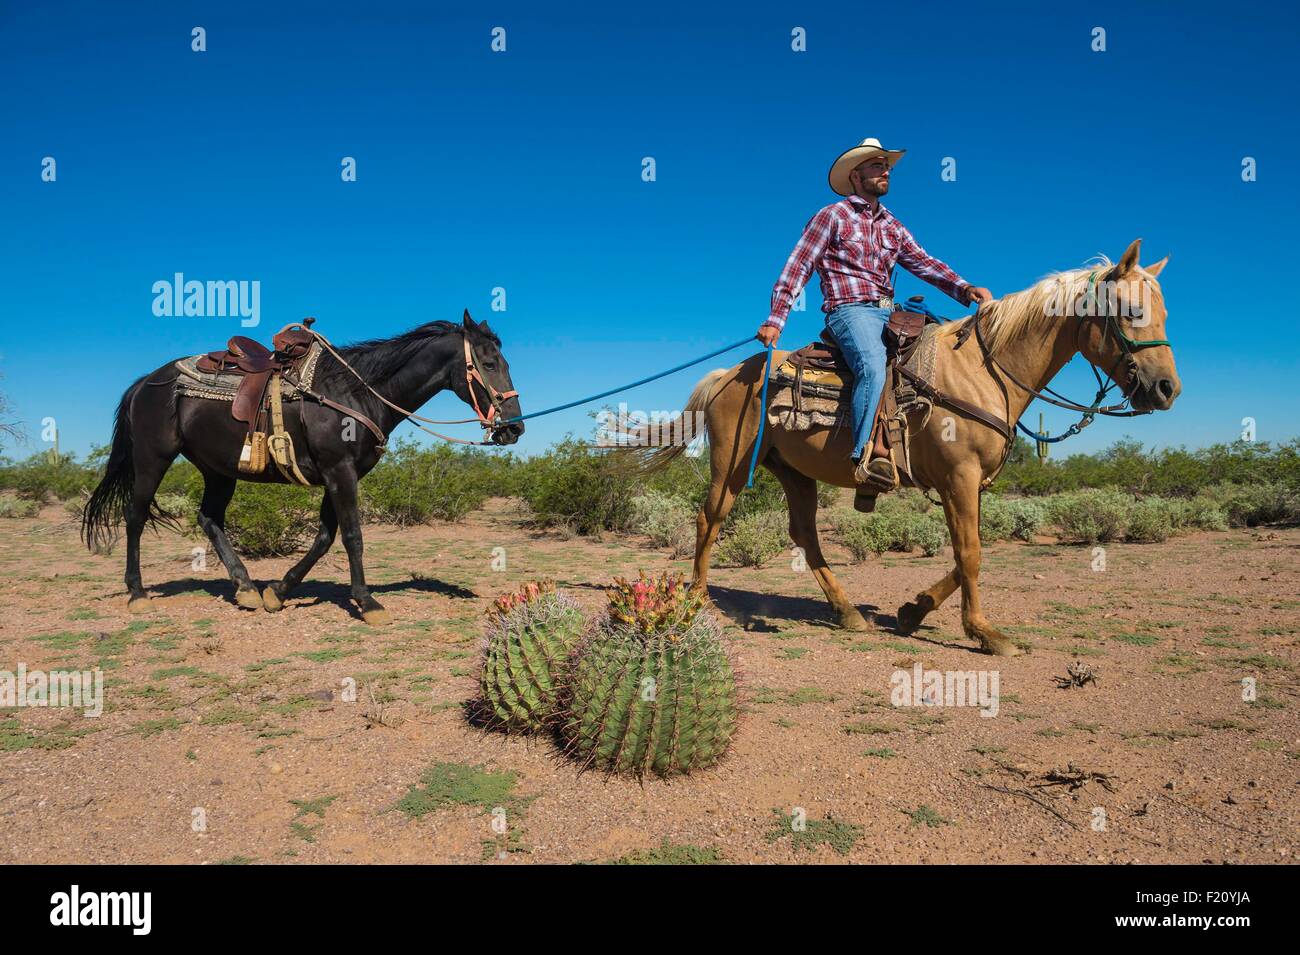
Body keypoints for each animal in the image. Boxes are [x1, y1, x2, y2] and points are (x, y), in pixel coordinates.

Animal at [82, 311, 522, 624]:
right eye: (488, 363)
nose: (514, 427)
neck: (355, 391)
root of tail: (145, 383)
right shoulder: (339, 470)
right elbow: (352, 536)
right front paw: (367, 603)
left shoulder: (339, 474)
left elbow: (325, 536)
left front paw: (278, 591)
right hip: (153, 458)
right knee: (135, 515)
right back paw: (138, 593)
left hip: (217, 469)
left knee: (209, 518)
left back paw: (245, 587)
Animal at [623, 239, 1180, 655]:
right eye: (1131, 311)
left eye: (1164, 313)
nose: (1166, 389)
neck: (985, 372)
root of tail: (728, 373)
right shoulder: (960, 477)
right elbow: (971, 554)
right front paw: (986, 633)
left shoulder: (971, 485)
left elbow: (964, 555)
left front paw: (913, 611)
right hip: (733, 464)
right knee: (709, 519)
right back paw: (700, 600)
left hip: (793, 471)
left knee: (805, 534)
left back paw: (847, 612)